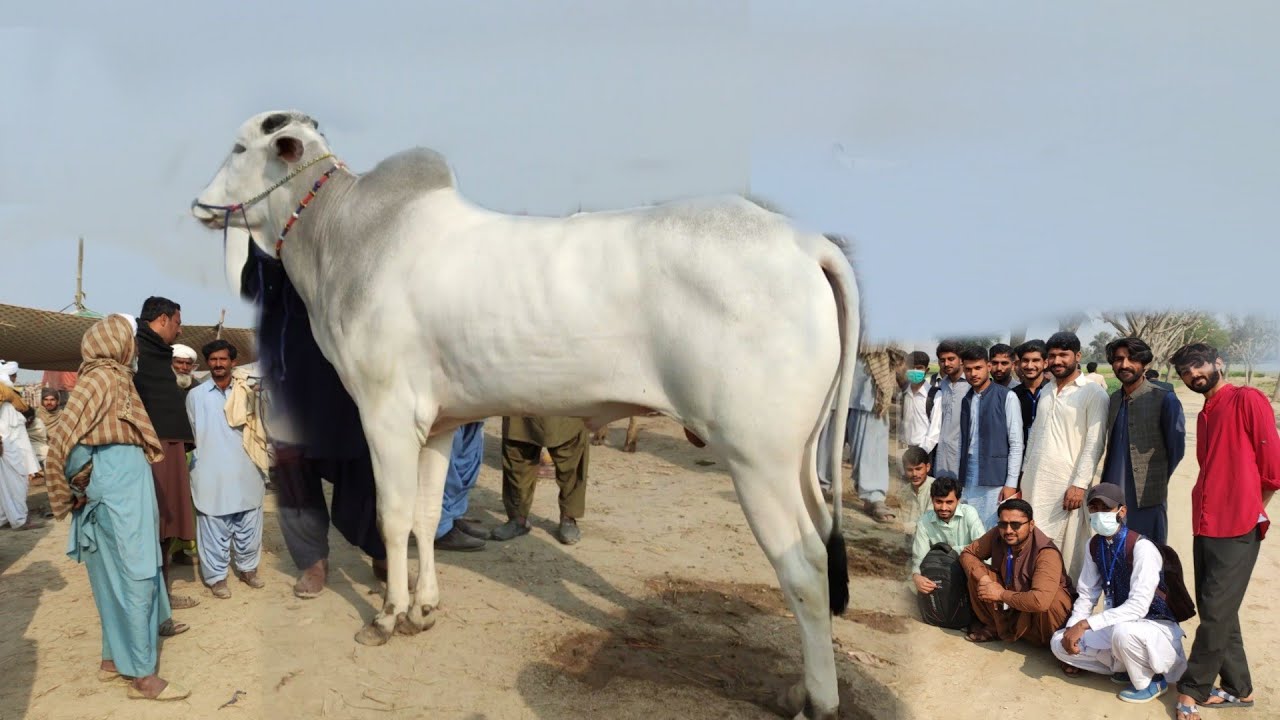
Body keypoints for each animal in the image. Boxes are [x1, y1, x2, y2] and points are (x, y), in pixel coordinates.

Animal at [191, 110, 860, 719]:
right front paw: (423, 608)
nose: (199, 203)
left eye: (239, 147)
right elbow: (425, 517)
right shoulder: (436, 426)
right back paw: (798, 689)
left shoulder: (385, 416)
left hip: (757, 458)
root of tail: (806, 242)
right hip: (797, 459)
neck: (346, 236)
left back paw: (819, 702)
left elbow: (392, 518)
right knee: (822, 556)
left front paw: (387, 615)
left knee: (805, 568)